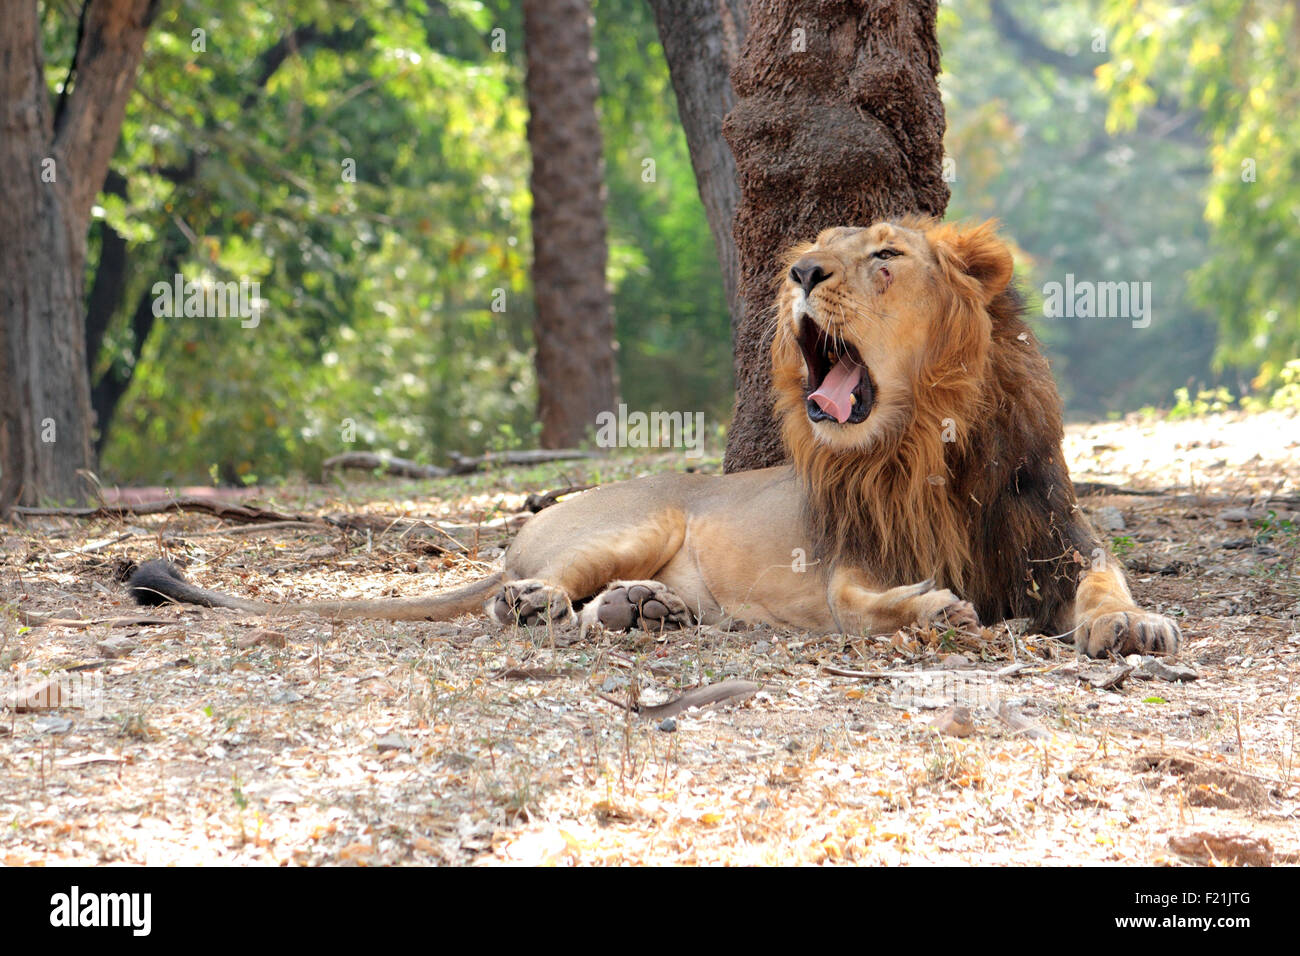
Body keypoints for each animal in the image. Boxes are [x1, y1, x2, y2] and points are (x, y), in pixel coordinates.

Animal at [128, 218, 1181, 658]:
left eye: (884, 254)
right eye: (819, 247)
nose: (799, 271)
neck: (927, 440)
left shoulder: (1054, 532)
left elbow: (1106, 580)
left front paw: (1129, 626)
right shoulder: (842, 557)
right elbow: (857, 602)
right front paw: (934, 609)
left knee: (608, 606)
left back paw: (647, 612)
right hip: (635, 520)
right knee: (525, 592)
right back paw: (542, 605)